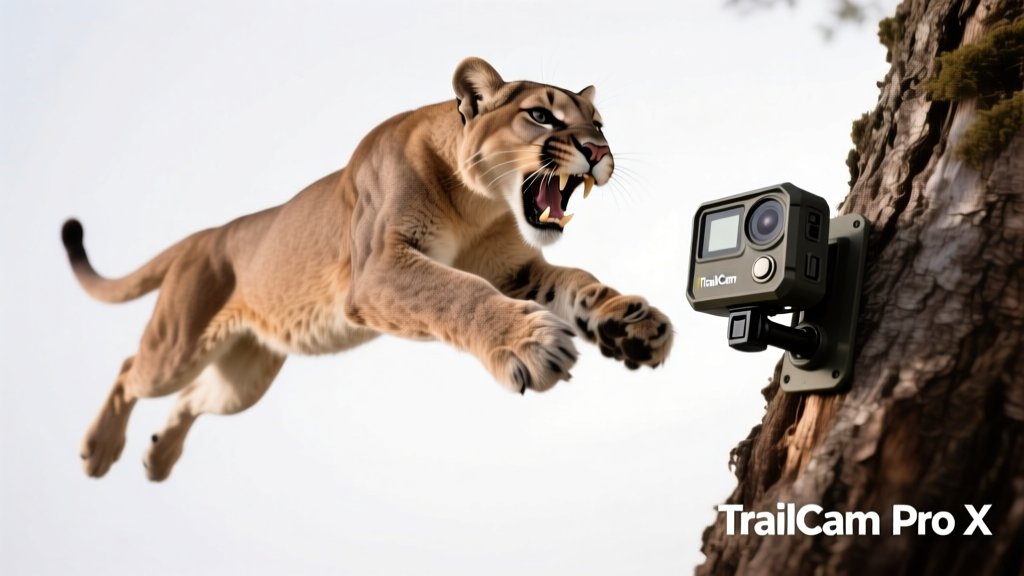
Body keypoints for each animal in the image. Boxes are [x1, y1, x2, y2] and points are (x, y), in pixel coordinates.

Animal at [62, 57, 674, 481]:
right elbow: (456, 290)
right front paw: (527, 343)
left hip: (244, 379)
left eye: (600, 124)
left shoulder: (516, 271)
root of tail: (203, 235)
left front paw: (632, 323)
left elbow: (578, 281)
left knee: (192, 398)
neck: (478, 205)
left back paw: (158, 458)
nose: (599, 152)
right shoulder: (380, 268)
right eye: (541, 115)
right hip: (178, 345)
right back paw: (99, 451)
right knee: (130, 371)